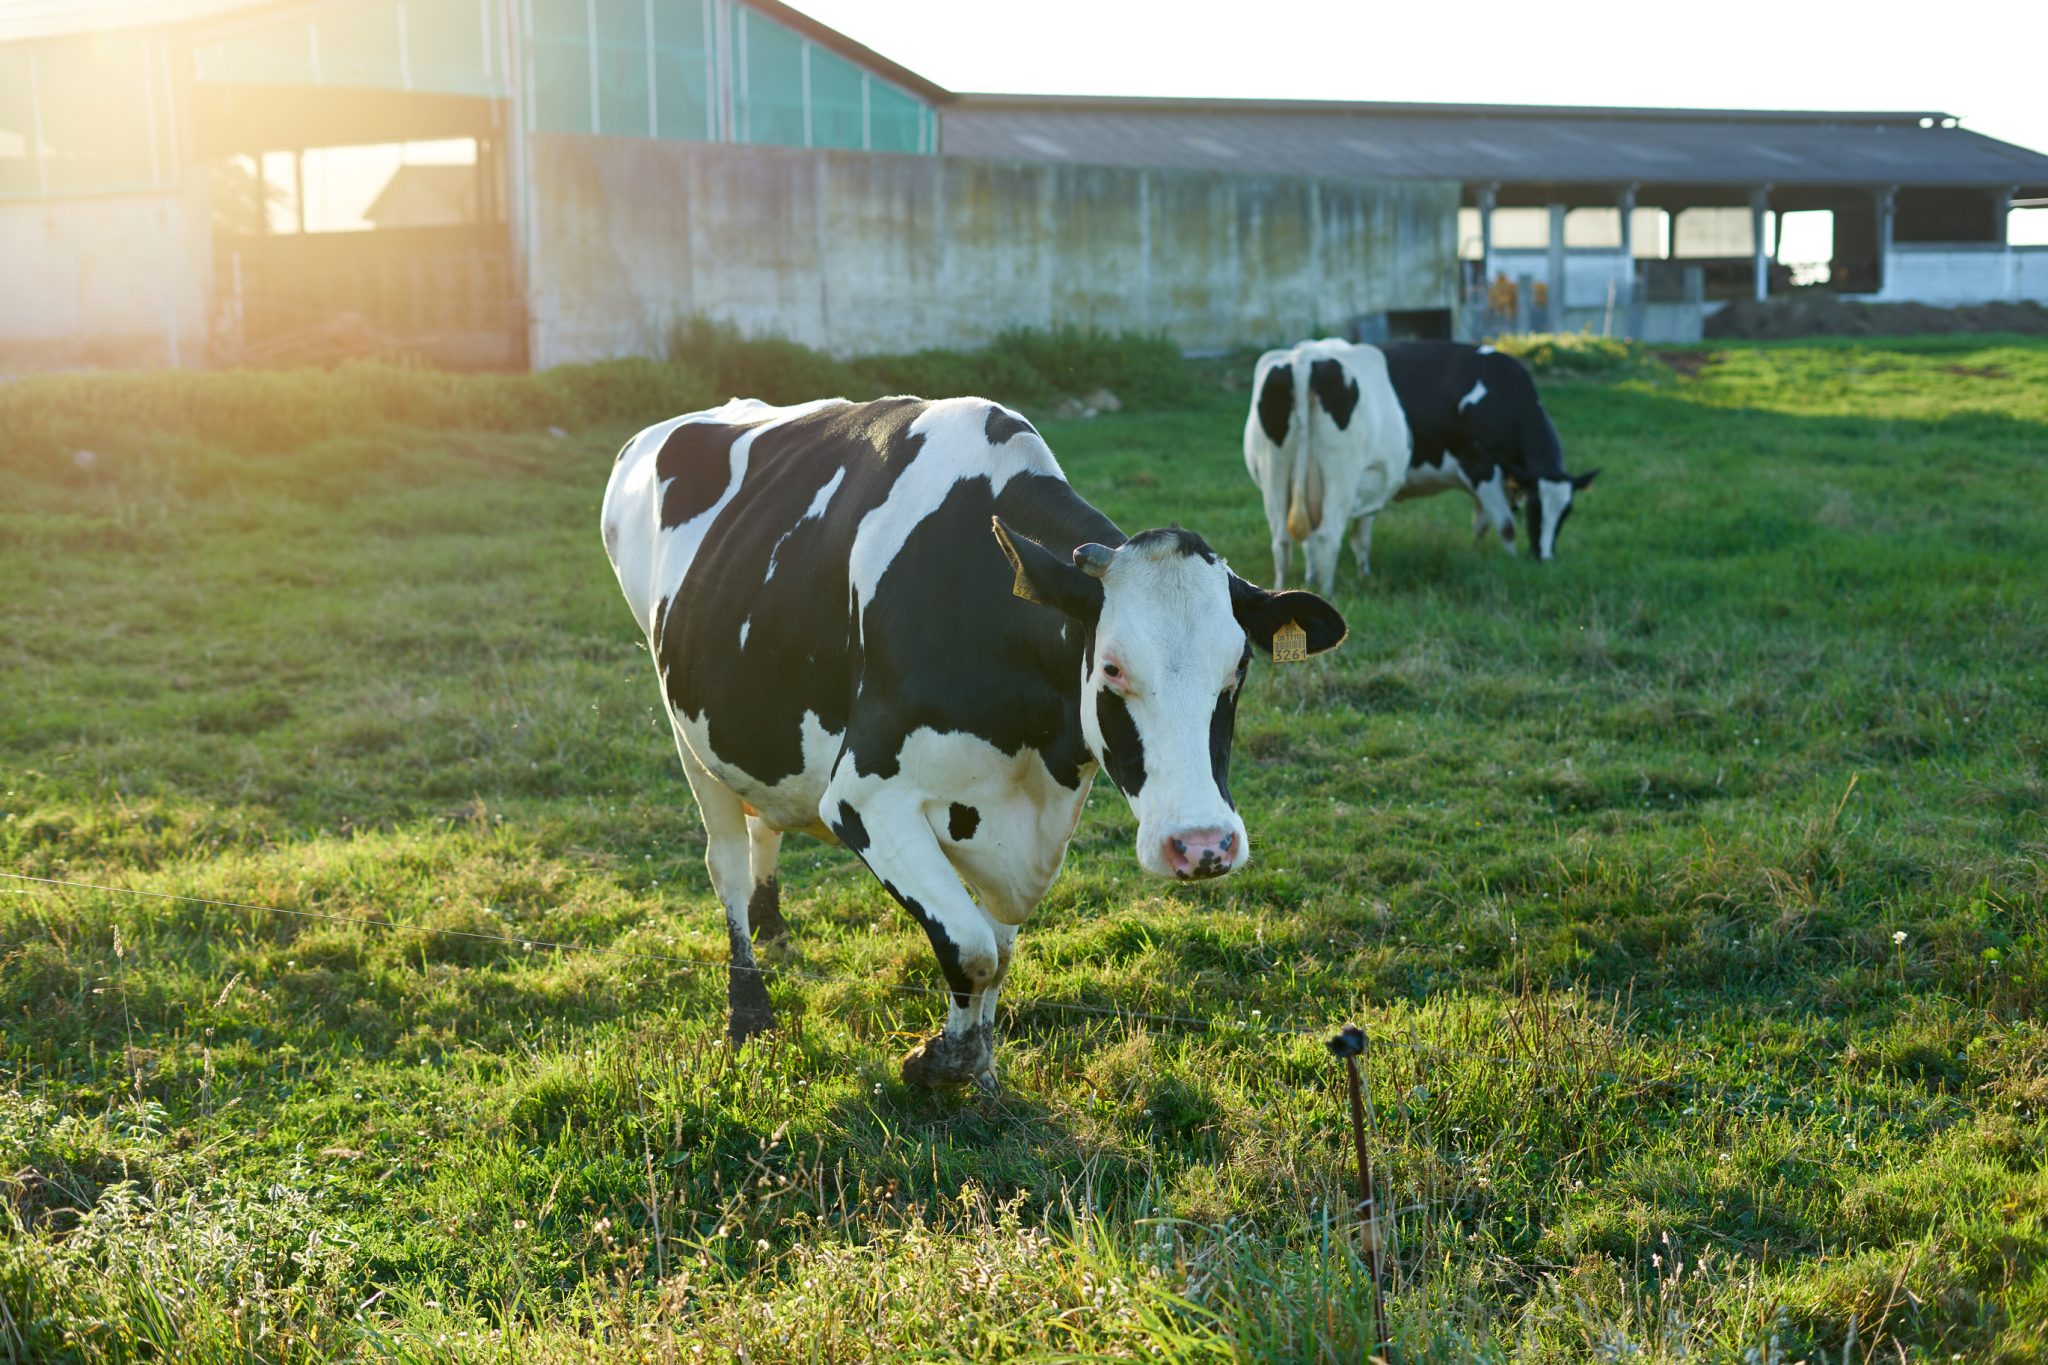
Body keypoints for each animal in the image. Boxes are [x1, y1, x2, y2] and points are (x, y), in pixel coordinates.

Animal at [602, 395, 1345, 1089]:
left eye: (1239, 666)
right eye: (1110, 667)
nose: (1202, 845)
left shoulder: (1031, 821)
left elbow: (1000, 947)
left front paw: (980, 1061)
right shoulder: (864, 796)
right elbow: (970, 945)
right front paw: (943, 1060)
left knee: (765, 823)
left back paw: (773, 926)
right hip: (686, 727)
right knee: (725, 858)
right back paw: (749, 1009)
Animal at [1243, 338, 1411, 592]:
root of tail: (1305, 359)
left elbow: (1309, 544)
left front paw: (1310, 577)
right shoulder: (1369, 492)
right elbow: (1361, 538)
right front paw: (1364, 575)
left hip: (1273, 472)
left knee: (1282, 541)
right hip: (1341, 476)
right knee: (1328, 536)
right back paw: (1327, 592)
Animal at [1377, 341, 1598, 562]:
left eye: (1566, 512)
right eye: (1534, 507)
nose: (1544, 558)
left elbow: (1481, 526)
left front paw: (1475, 554)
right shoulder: (1480, 469)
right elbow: (1506, 526)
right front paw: (1512, 561)